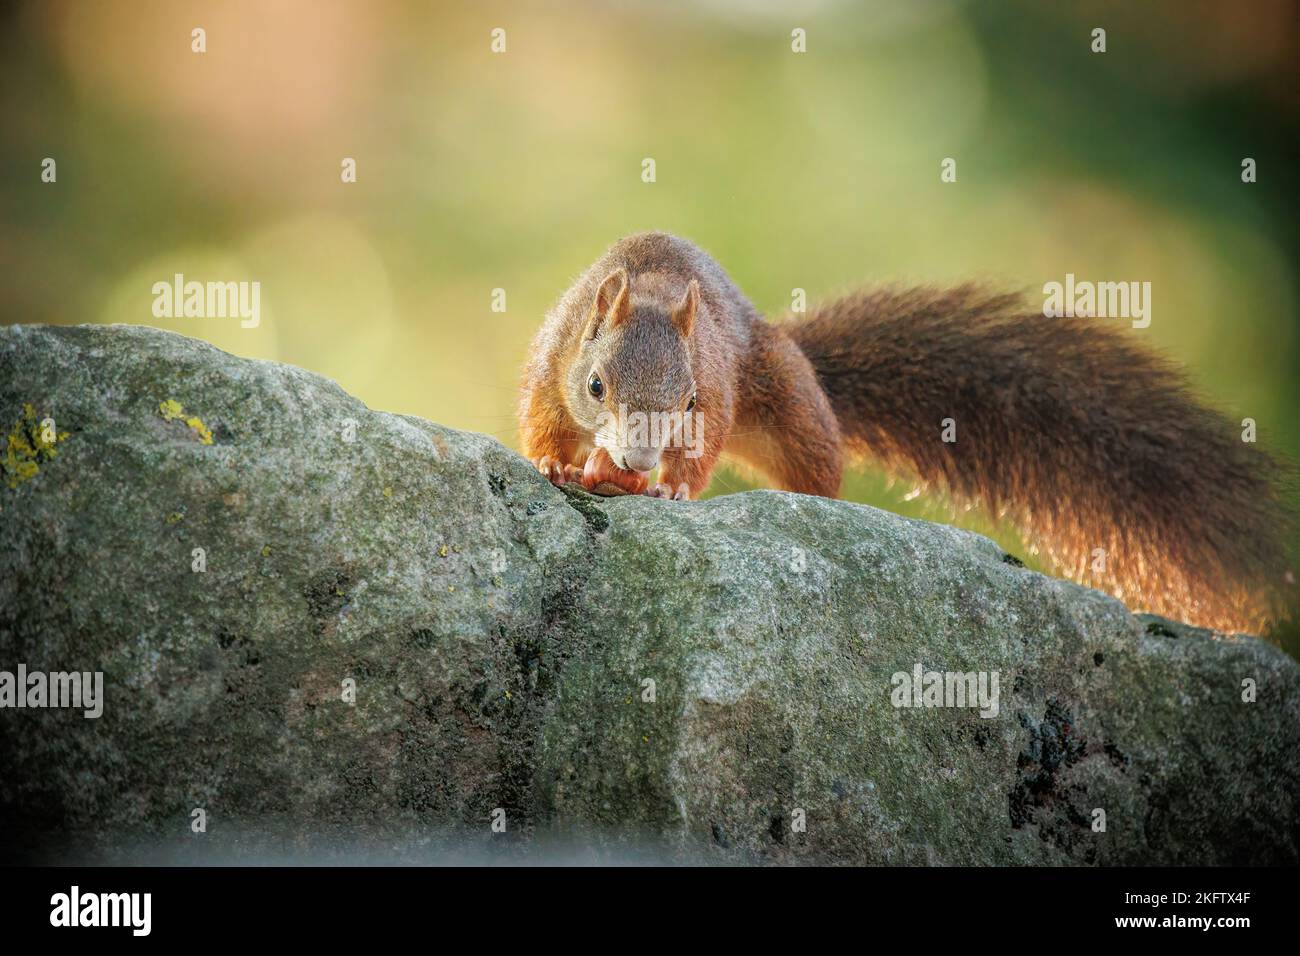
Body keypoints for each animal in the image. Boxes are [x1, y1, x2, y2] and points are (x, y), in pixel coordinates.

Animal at [519, 231, 1293, 633]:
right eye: (596, 386)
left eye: (685, 401)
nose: (635, 458)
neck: (652, 289)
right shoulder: (554, 363)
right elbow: (541, 421)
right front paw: (558, 466)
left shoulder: (716, 392)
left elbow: (699, 452)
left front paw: (673, 489)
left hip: (792, 404)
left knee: (814, 466)